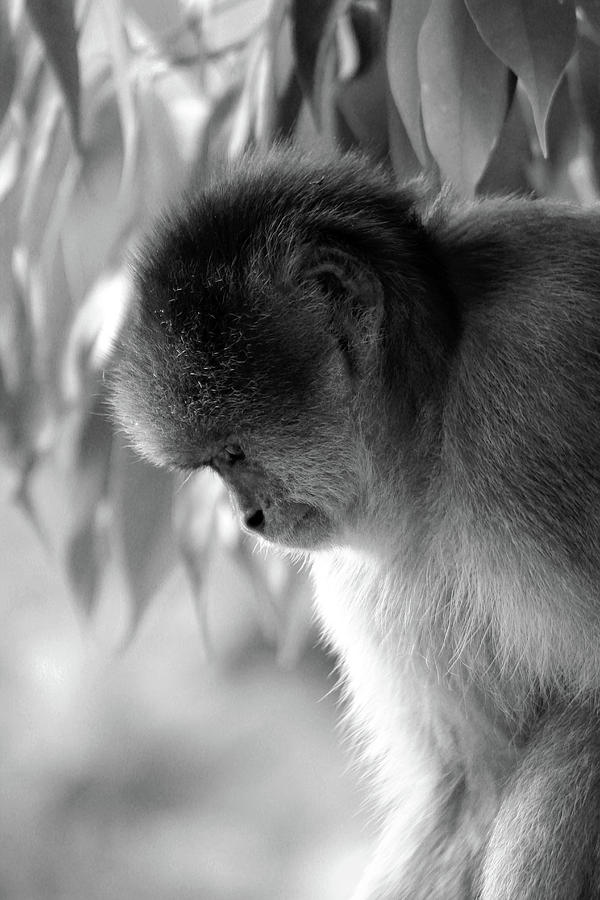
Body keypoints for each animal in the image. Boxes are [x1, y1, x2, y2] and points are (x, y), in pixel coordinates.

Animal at [110, 146, 600, 899]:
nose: (250, 518)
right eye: (217, 467)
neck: (439, 406)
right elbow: (468, 790)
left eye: (234, 454)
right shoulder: (371, 568)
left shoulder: (530, 416)